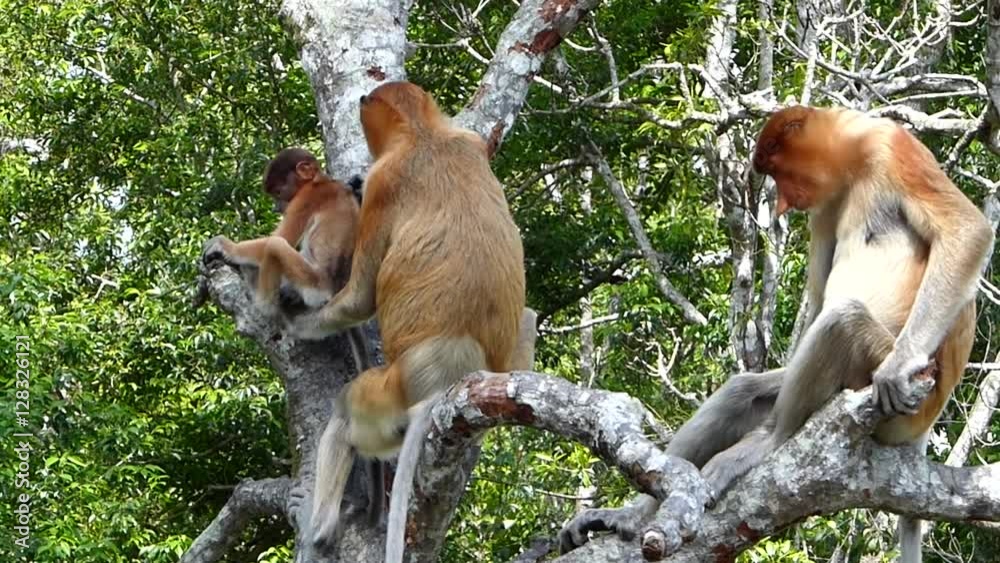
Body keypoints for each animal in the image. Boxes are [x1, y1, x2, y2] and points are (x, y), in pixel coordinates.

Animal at [284, 81, 527, 562]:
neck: (424, 134)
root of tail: (445, 379)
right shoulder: (470, 142)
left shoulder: (385, 180)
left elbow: (359, 296)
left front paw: (295, 323)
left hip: (384, 395)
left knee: (344, 412)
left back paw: (318, 527)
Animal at [560, 106, 993, 562]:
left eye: (776, 167)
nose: (783, 200)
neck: (853, 164)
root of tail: (923, 430)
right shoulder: (825, 208)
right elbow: (816, 298)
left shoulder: (893, 148)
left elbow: (967, 230)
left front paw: (897, 368)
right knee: (744, 389)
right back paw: (630, 517)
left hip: (899, 404)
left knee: (842, 320)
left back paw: (769, 442)